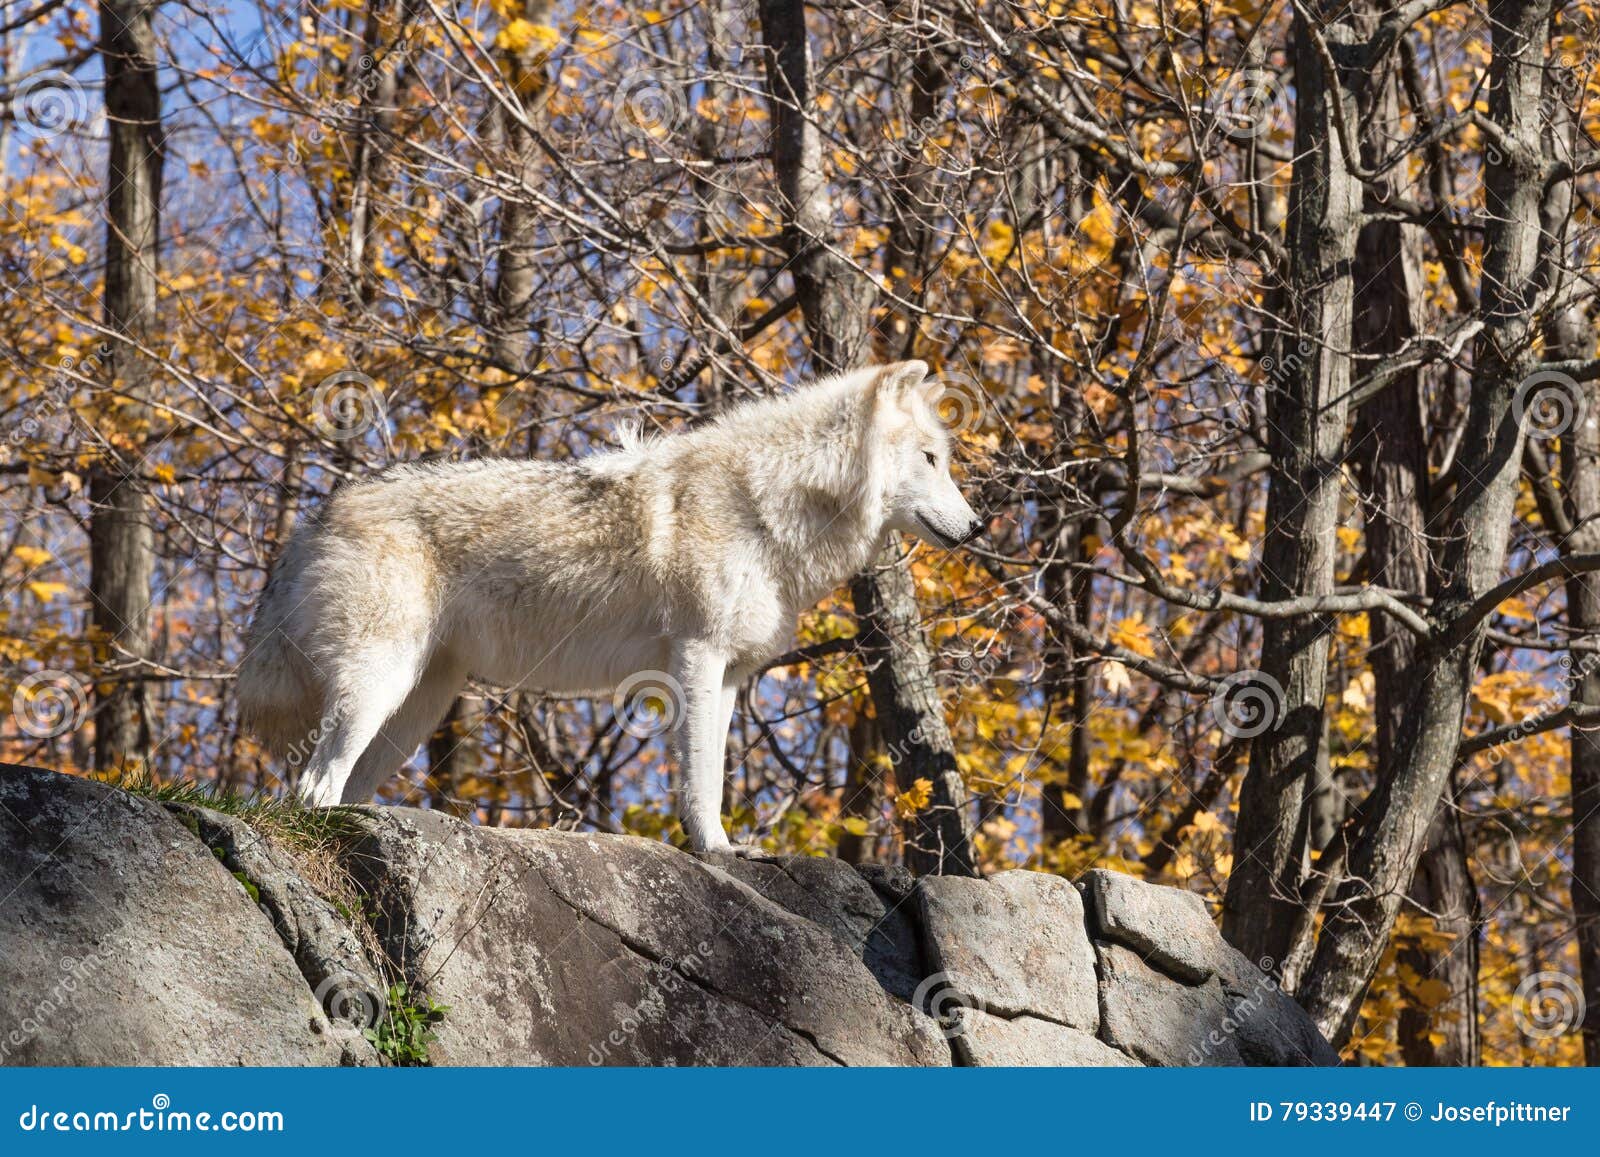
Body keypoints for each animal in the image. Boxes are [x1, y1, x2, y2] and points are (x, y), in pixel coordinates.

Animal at [236, 360, 983, 853]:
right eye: (931, 459)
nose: (977, 527)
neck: (766, 504)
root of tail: (317, 515)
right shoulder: (696, 658)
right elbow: (701, 777)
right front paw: (714, 850)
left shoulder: (730, 676)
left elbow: (712, 771)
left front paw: (723, 847)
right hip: (378, 685)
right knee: (310, 789)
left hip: (419, 706)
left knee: (337, 787)